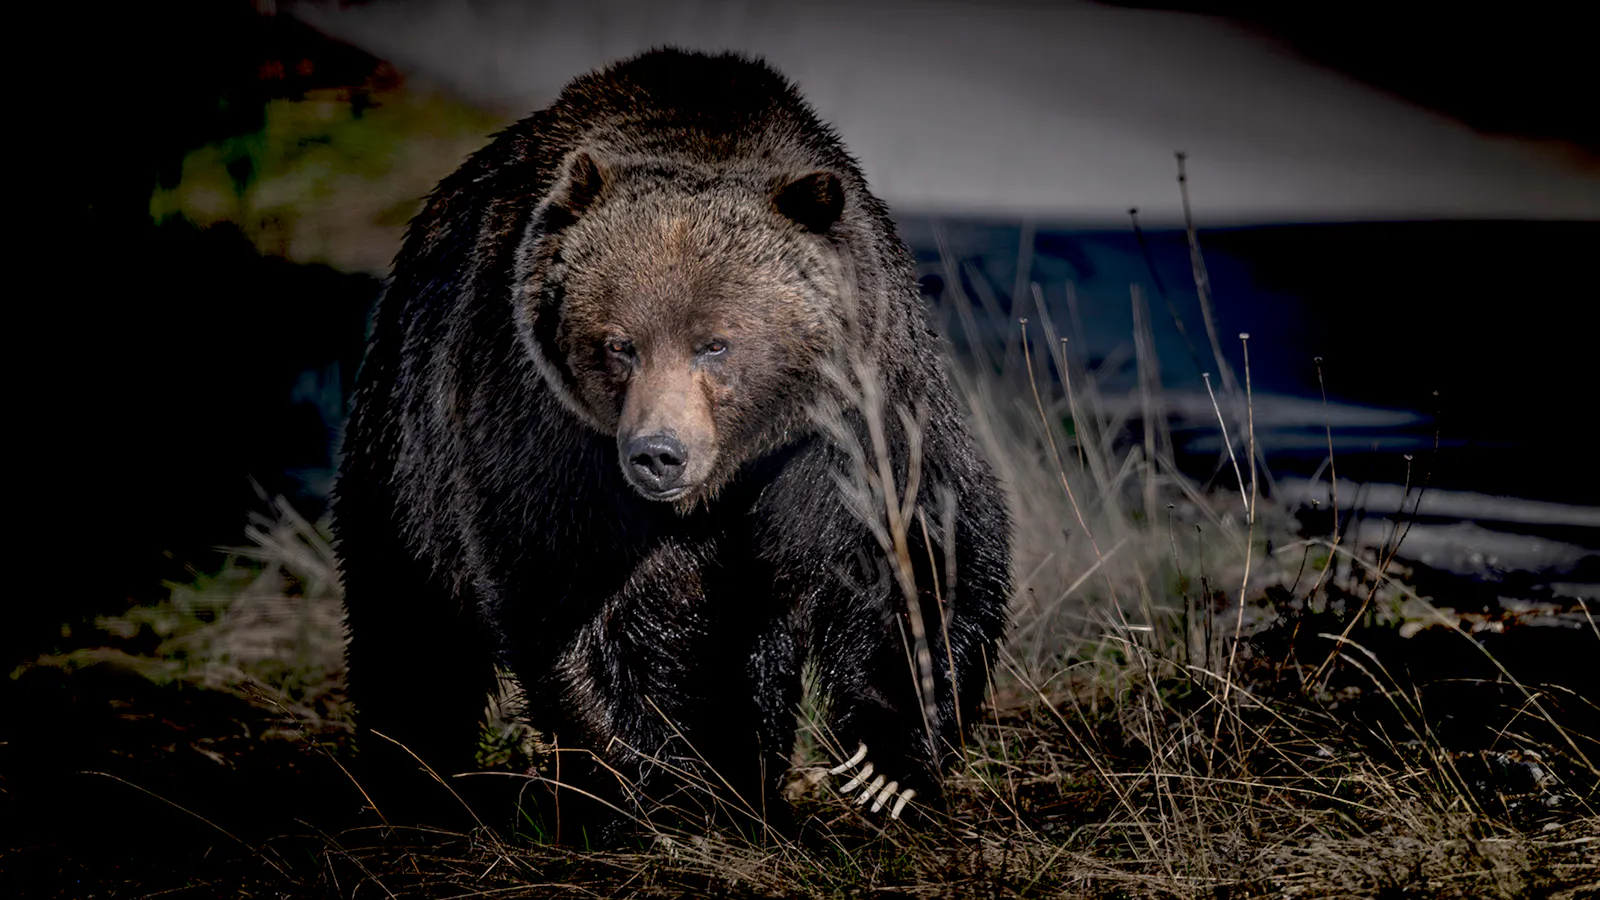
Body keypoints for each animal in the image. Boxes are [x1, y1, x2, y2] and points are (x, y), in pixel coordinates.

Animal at [332, 47, 1012, 842]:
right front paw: (668, 787)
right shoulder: (547, 433)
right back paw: (413, 787)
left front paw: (882, 765)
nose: (659, 453)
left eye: (715, 343)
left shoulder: (856, 410)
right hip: (407, 432)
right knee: (408, 618)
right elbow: (589, 608)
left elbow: (915, 546)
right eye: (618, 343)